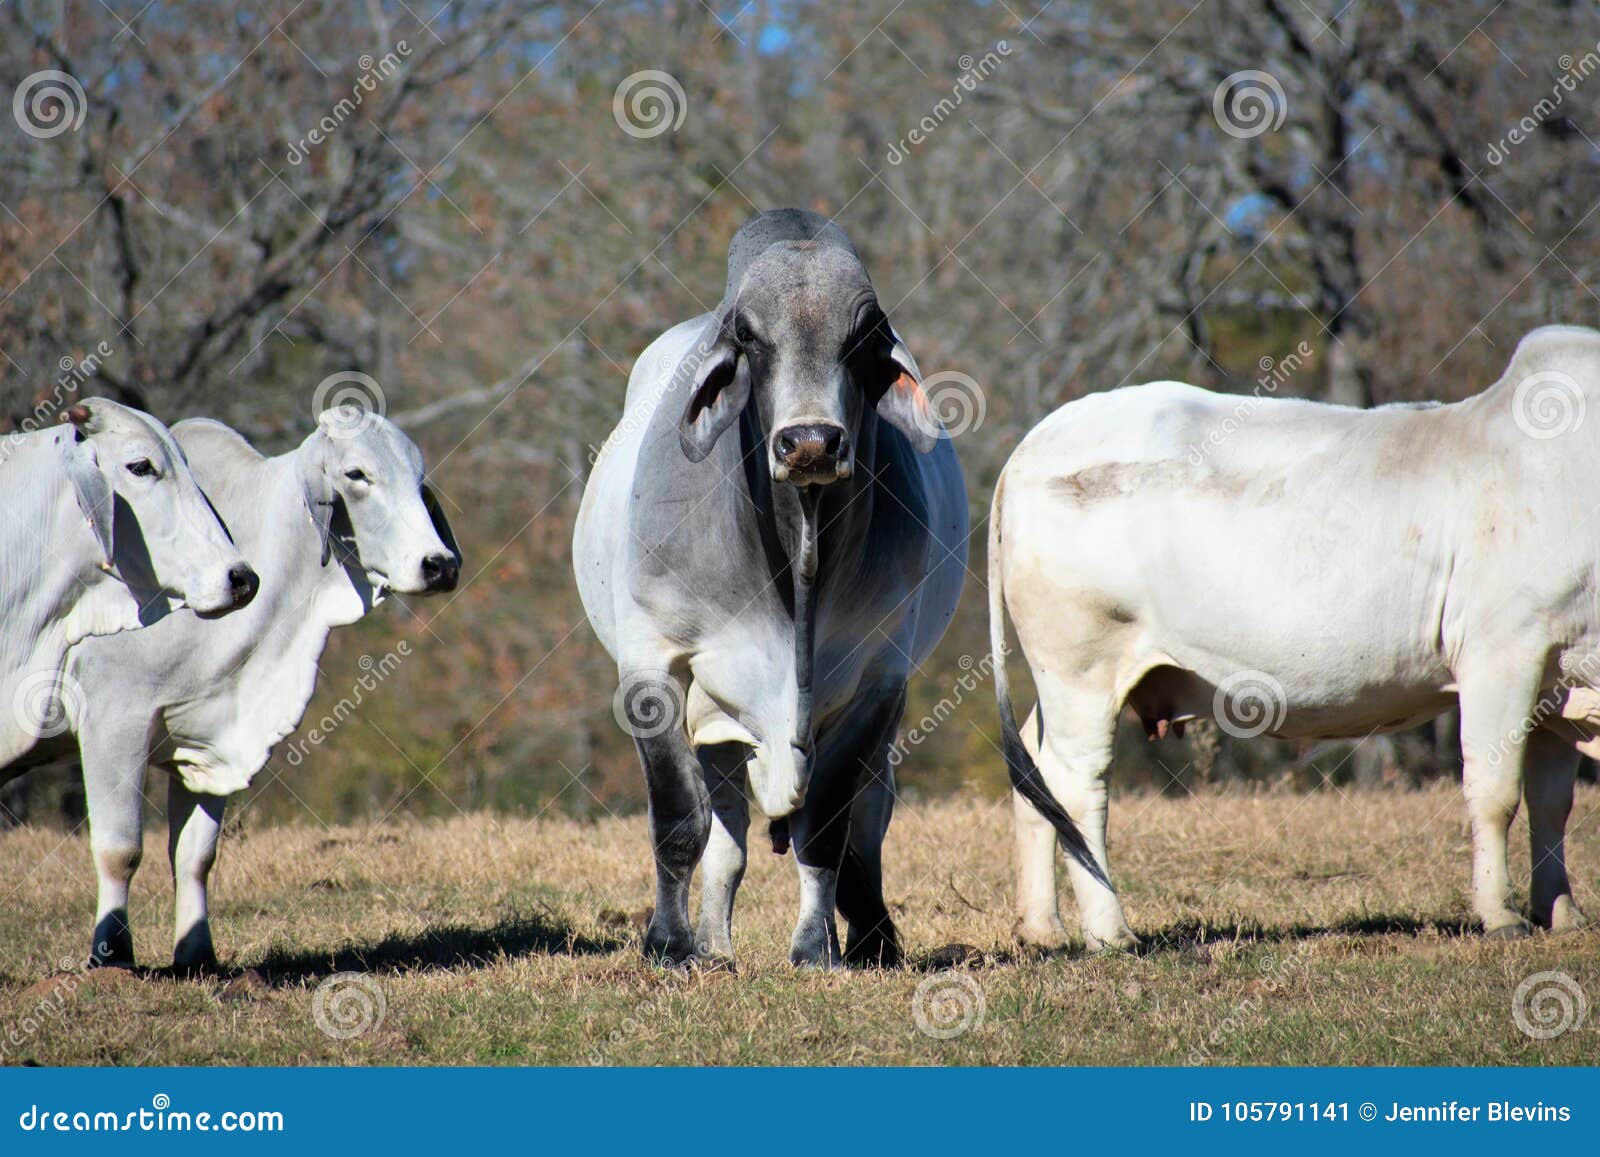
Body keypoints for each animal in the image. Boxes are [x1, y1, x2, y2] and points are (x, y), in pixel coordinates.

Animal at [574, 209, 967, 969]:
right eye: (750, 336)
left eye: (862, 336)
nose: (810, 441)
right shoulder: (653, 663)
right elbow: (679, 818)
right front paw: (668, 943)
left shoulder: (879, 675)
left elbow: (827, 826)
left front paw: (817, 947)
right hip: (717, 724)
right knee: (726, 834)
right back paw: (715, 945)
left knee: (867, 821)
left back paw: (870, 936)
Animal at [990, 325, 1600, 952]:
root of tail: (1035, 442)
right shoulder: (1502, 653)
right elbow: (1495, 793)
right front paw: (1502, 915)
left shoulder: (1556, 680)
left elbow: (1553, 802)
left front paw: (1563, 912)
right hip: (1082, 670)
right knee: (1076, 785)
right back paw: (1112, 933)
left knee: (1035, 776)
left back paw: (1042, 927)